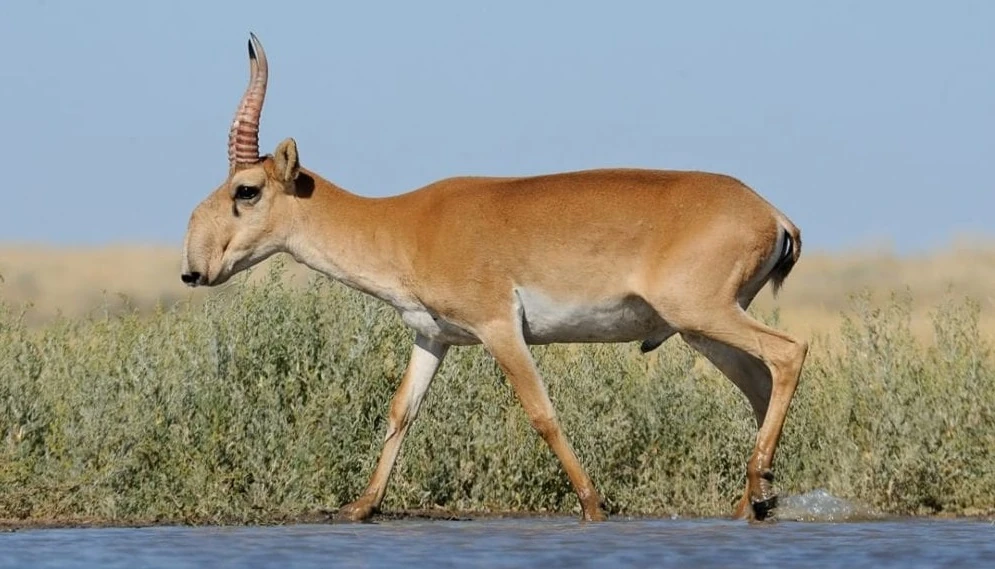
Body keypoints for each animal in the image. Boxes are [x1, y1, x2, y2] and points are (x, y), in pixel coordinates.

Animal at [180, 33, 809, 523]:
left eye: (246, 190)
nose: (194, 269)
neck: (405, 223)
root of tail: (771, 212)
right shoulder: (431, 337)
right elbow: (401, 411)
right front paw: (360, 506)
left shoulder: (499, 329)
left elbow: (542, 412)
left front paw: (592, 505)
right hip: (702, 332)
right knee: (760, 385)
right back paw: (750, 503)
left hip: (705, 315)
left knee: (789, 353)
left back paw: (757, 494)